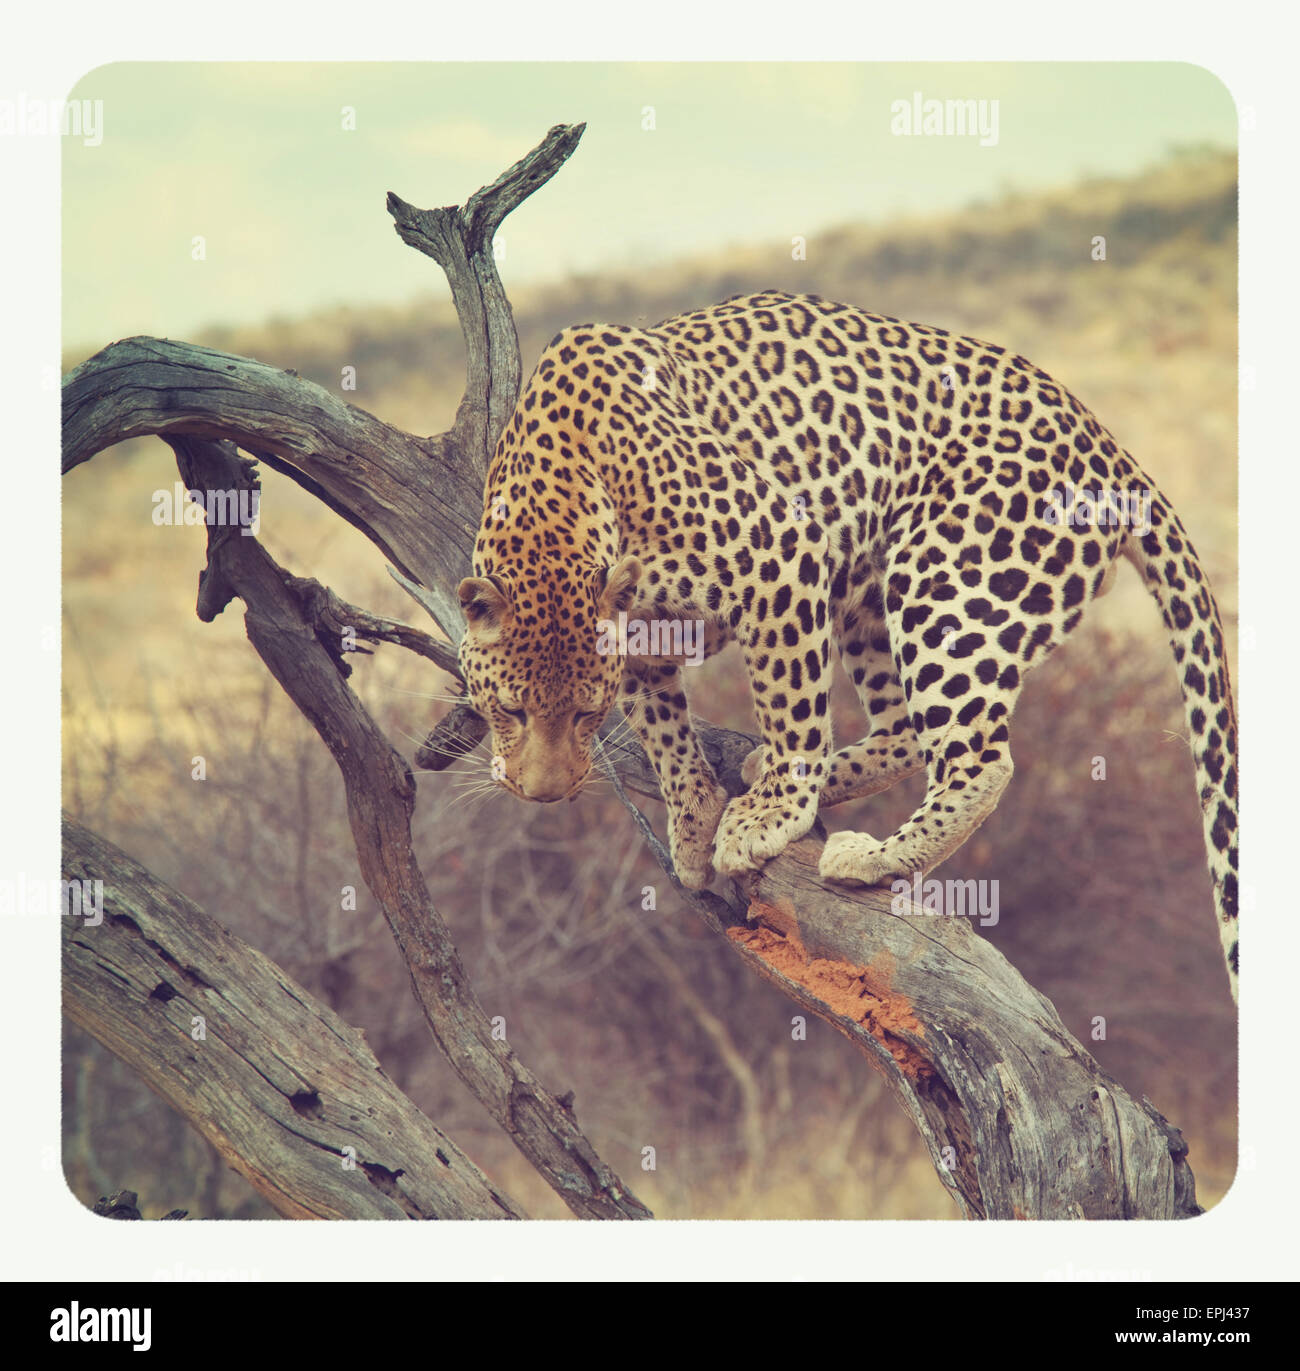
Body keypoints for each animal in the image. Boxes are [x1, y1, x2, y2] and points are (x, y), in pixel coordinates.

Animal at [454, 291, 1239, 1002]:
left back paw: (869, 855)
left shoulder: (782, 553)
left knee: (979, 759)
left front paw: (768, 815)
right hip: (870, 593)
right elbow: (665, 733)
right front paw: (695, 816)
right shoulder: (642, 630)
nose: (545, 795)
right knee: (907, 731)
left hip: (946, 579)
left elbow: (789, 701)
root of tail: (1112, 449)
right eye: (511, 711)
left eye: (586, 715)